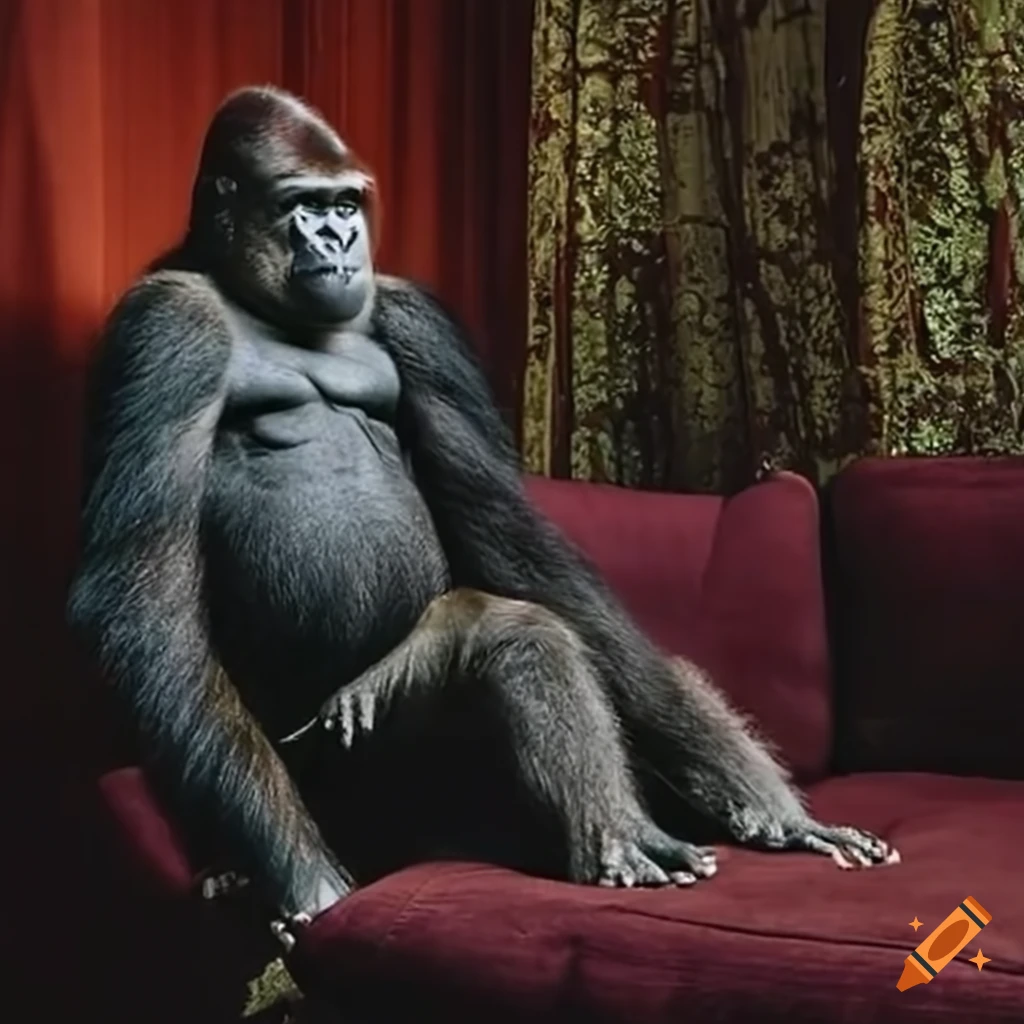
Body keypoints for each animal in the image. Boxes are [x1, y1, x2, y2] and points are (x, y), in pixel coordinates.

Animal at [66, 85, 897, 933]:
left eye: (343, 203)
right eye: (302, 206)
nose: (338, 236)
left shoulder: (418, 322)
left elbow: (504, 528)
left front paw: (766, 807)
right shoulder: (167, 334)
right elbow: (140, 586)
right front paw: (307, 883)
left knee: (518, 634)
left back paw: (618, 826)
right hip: (334, 777)